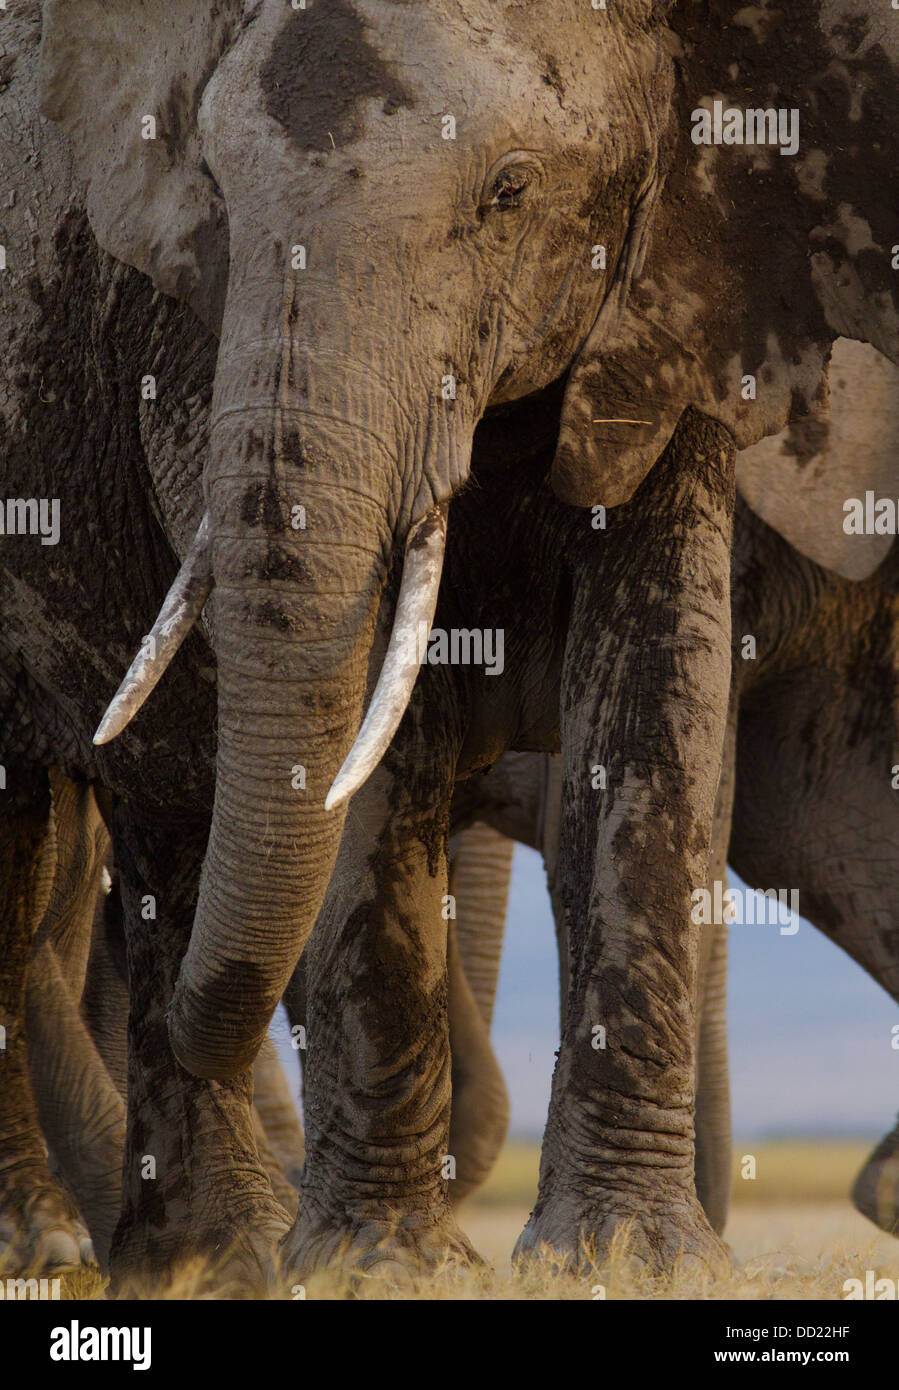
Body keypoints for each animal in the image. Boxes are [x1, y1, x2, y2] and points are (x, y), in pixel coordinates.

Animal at [2, 0, 898, 1282]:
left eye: (511, 190)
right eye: (215, 182)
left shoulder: (682, 294)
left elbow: (649, 711)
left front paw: (623, 1260)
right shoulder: (189, 345)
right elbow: (366, 741)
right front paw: (374, 1267)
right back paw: (193, 1251)